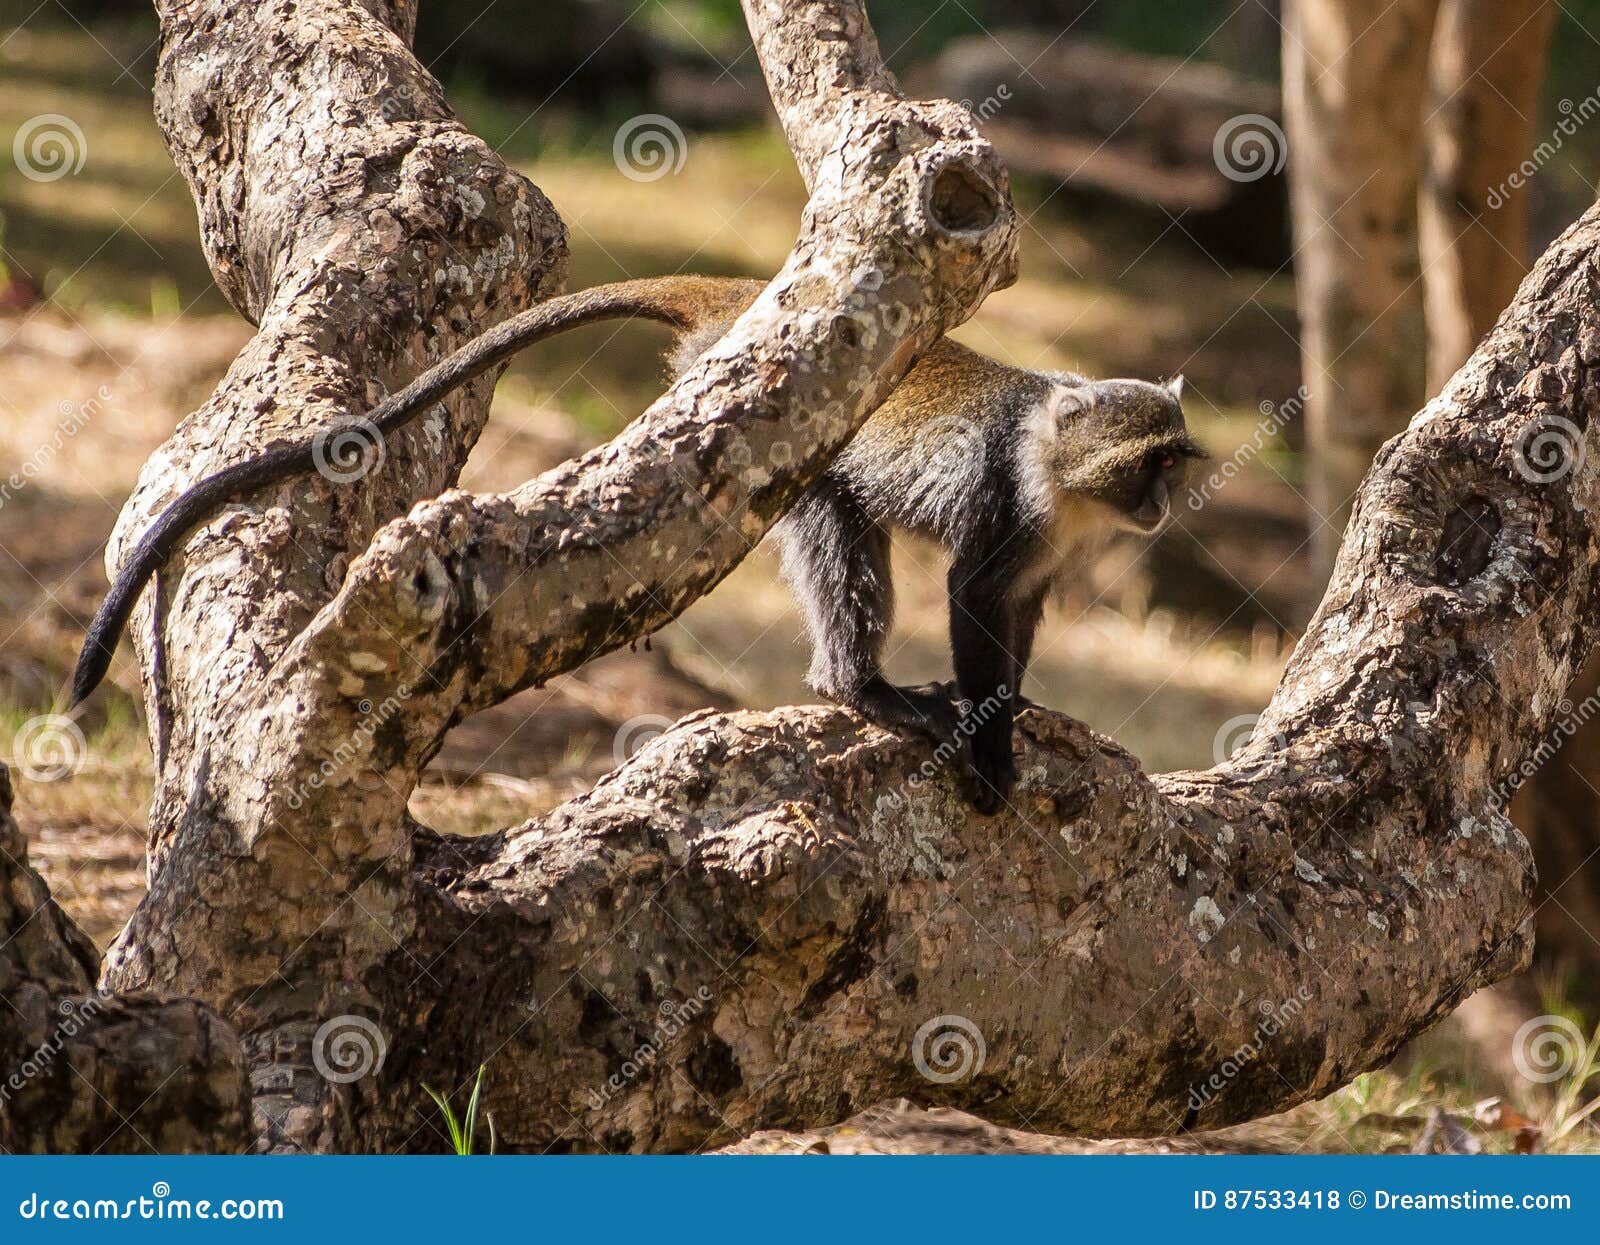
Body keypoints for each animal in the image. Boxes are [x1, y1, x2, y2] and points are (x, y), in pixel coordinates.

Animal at [69, 274, 1201, 813]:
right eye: (1151, 462)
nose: (1165, 505)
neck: (1056, 465)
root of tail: (742, 305)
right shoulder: (1004, 504)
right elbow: (970, 595)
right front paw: (988, 739)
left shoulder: (1047, 550)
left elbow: (1015, 612)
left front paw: (1020, 705)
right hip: (777, 425)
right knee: (833, 531)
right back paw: (862, 689)